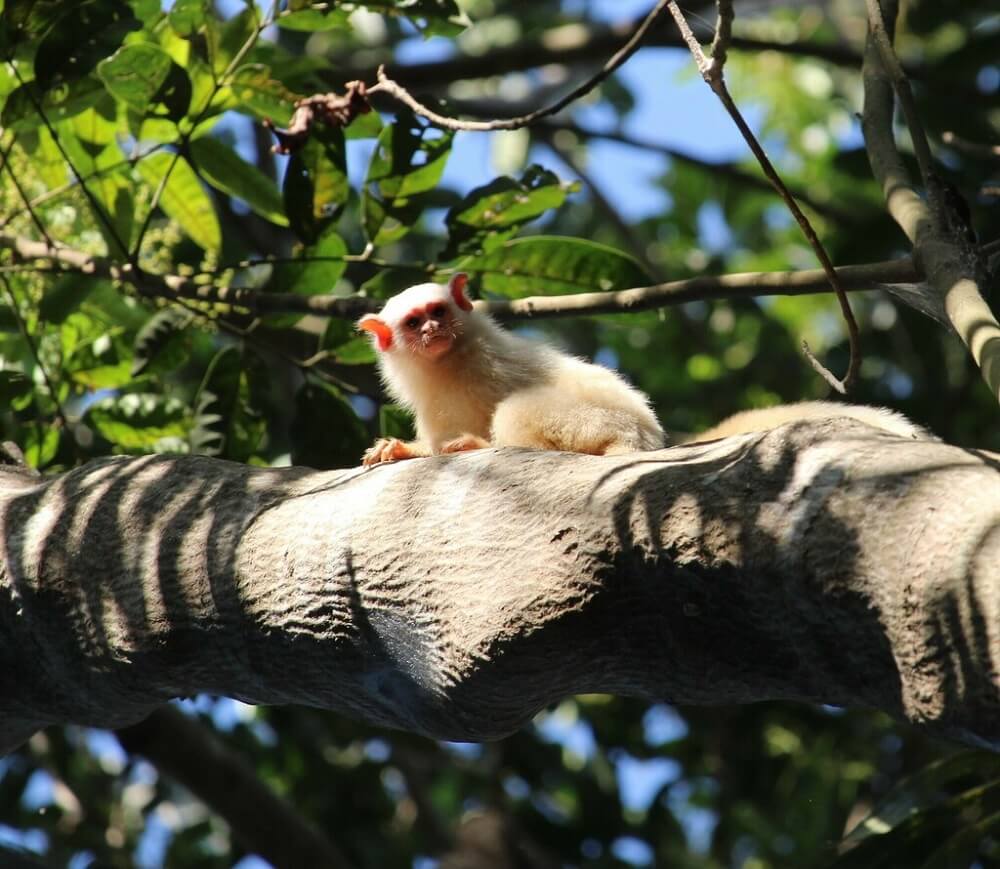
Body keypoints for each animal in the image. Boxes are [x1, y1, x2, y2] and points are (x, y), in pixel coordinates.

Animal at [357, 273, 666, 465]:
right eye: (413, 323)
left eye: (438, 312)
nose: (432, 329)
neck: (448, 361)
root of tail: (640, 438)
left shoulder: (481, 371)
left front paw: (410, 449)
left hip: (597, 421)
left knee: (515, 412)